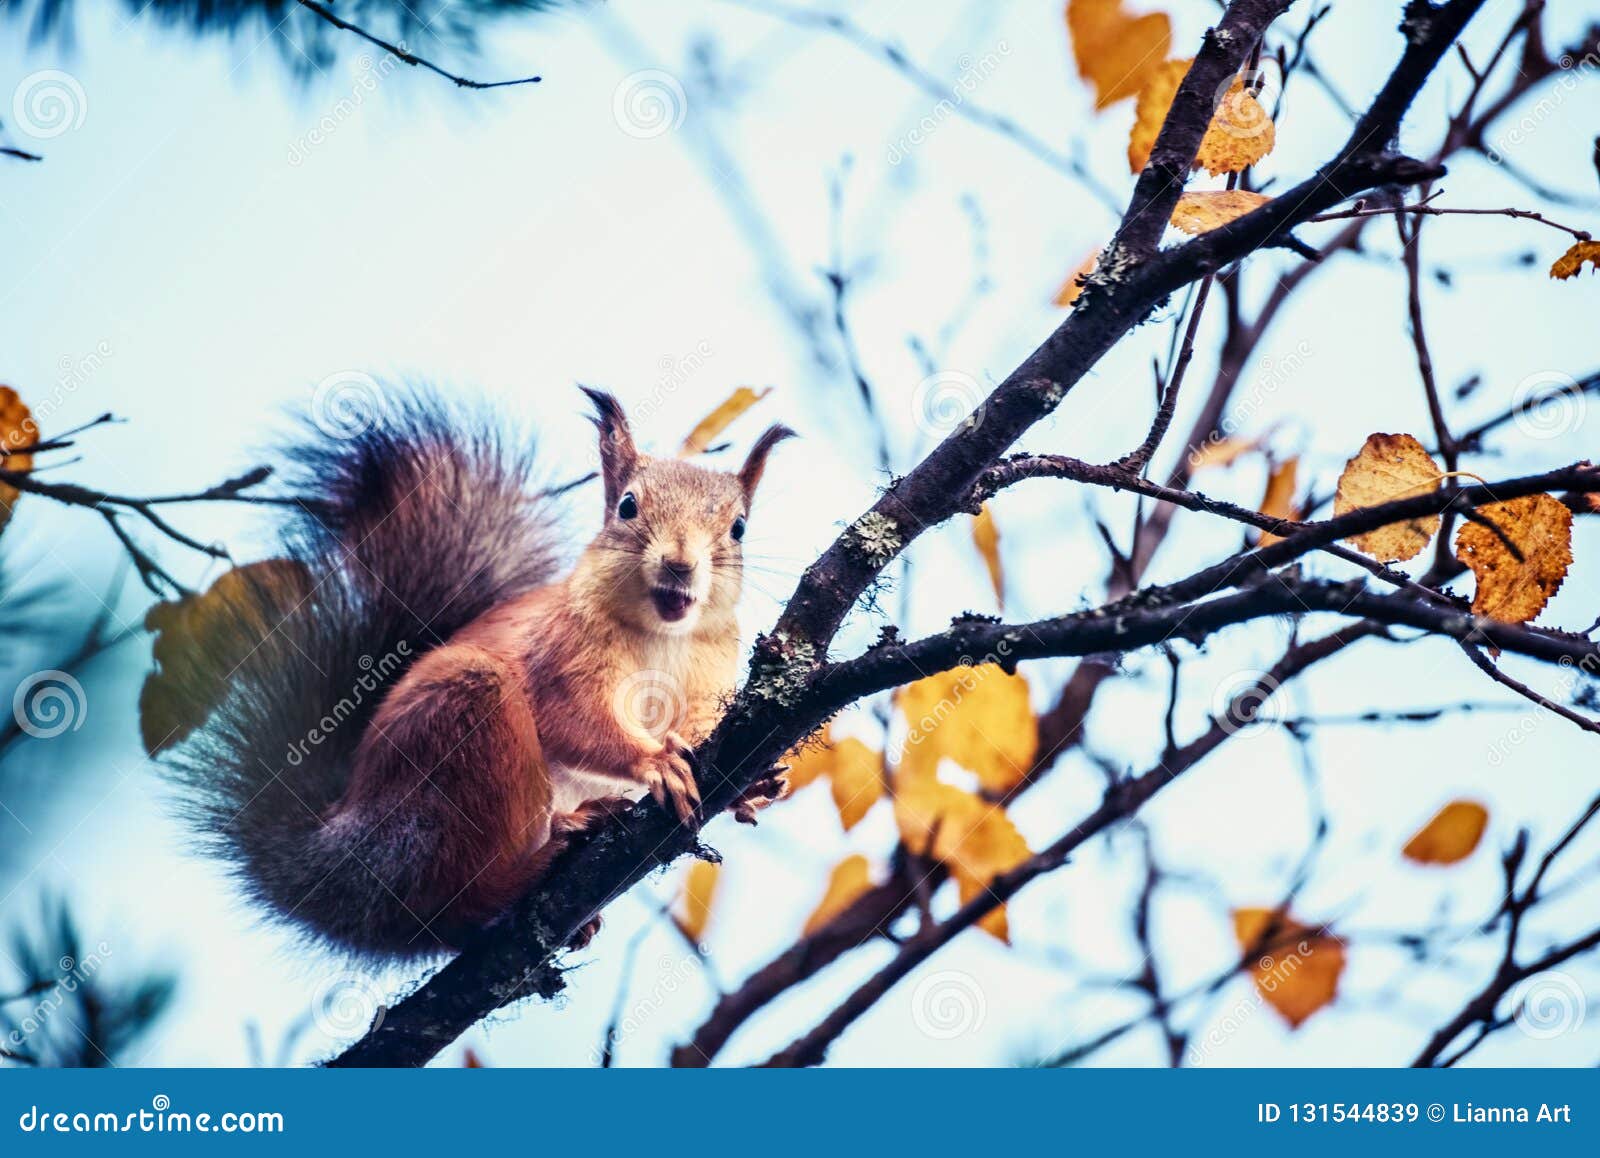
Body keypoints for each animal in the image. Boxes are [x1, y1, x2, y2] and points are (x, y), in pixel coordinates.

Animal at [155, 386, 792, 960]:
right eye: (627, 506)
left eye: (738, 528)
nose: (680, 565)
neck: (664, 634)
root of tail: (334, 855)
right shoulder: (560, 654)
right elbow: (573, 719)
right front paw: (653, 759)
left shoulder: (710, 677)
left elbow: (708, 729)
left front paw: (751, 785)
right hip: (461, 743)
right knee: (456, 902)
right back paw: (548, 851)